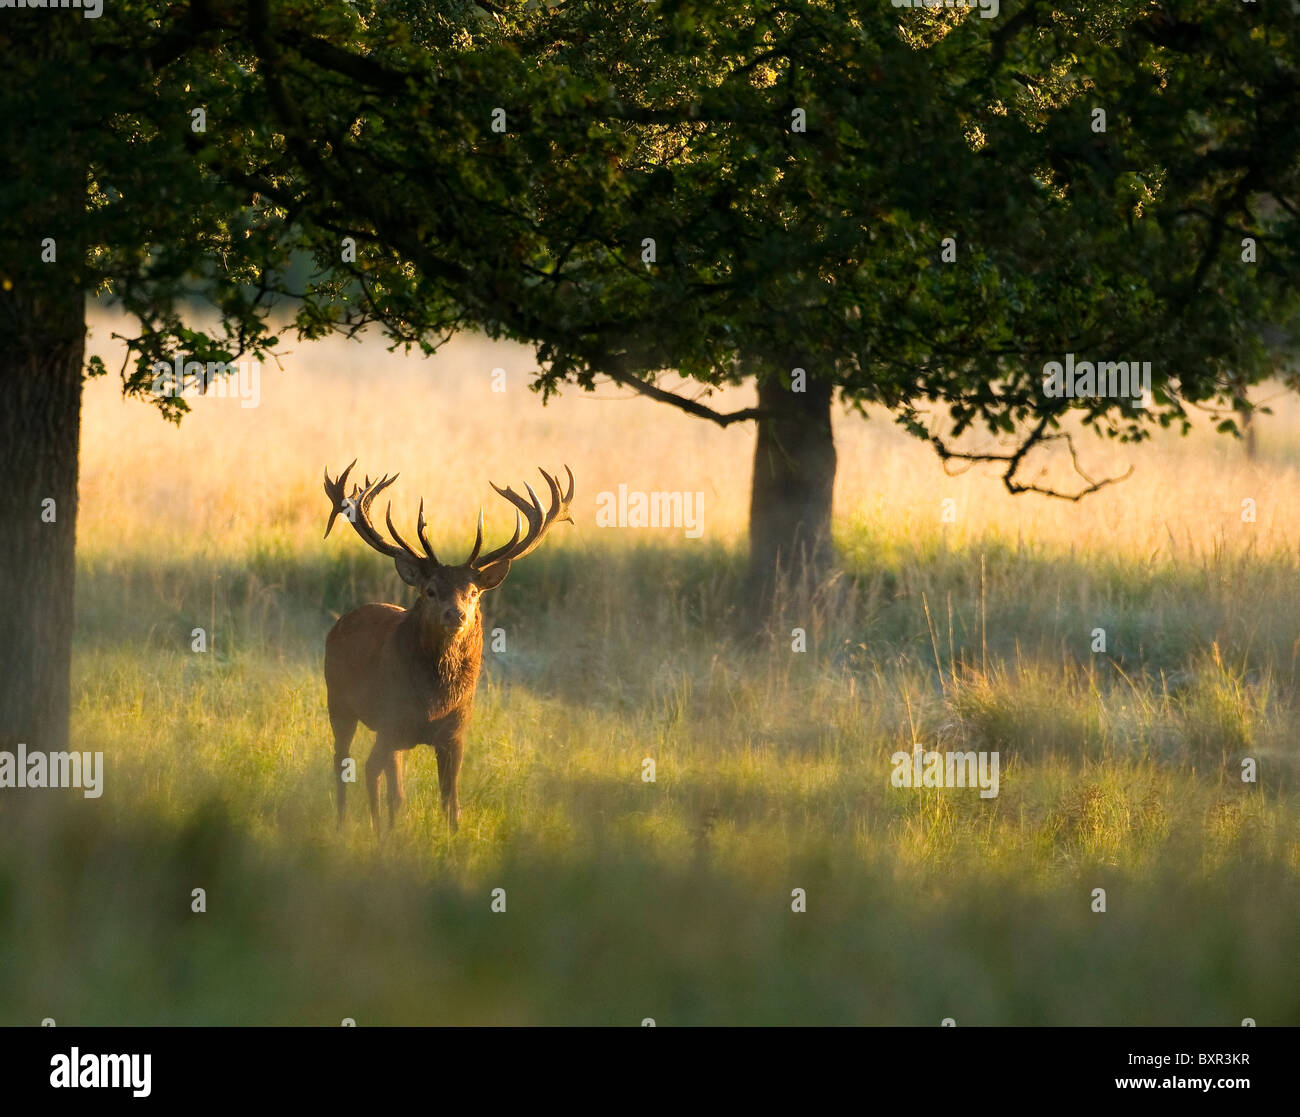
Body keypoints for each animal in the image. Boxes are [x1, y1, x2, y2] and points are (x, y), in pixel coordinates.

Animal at [321, 461, 574, 834]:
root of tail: (342, 621)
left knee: (382, 775)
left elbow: (450, 801)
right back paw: (342, 824)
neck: (435, 702)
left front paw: (450, 837)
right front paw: (384, 835)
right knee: (346, 763)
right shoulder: (390, 718)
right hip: (339, 702)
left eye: (473, 592)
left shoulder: (455, 733)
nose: (456, 614)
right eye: (430, 590)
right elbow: (382, 784)